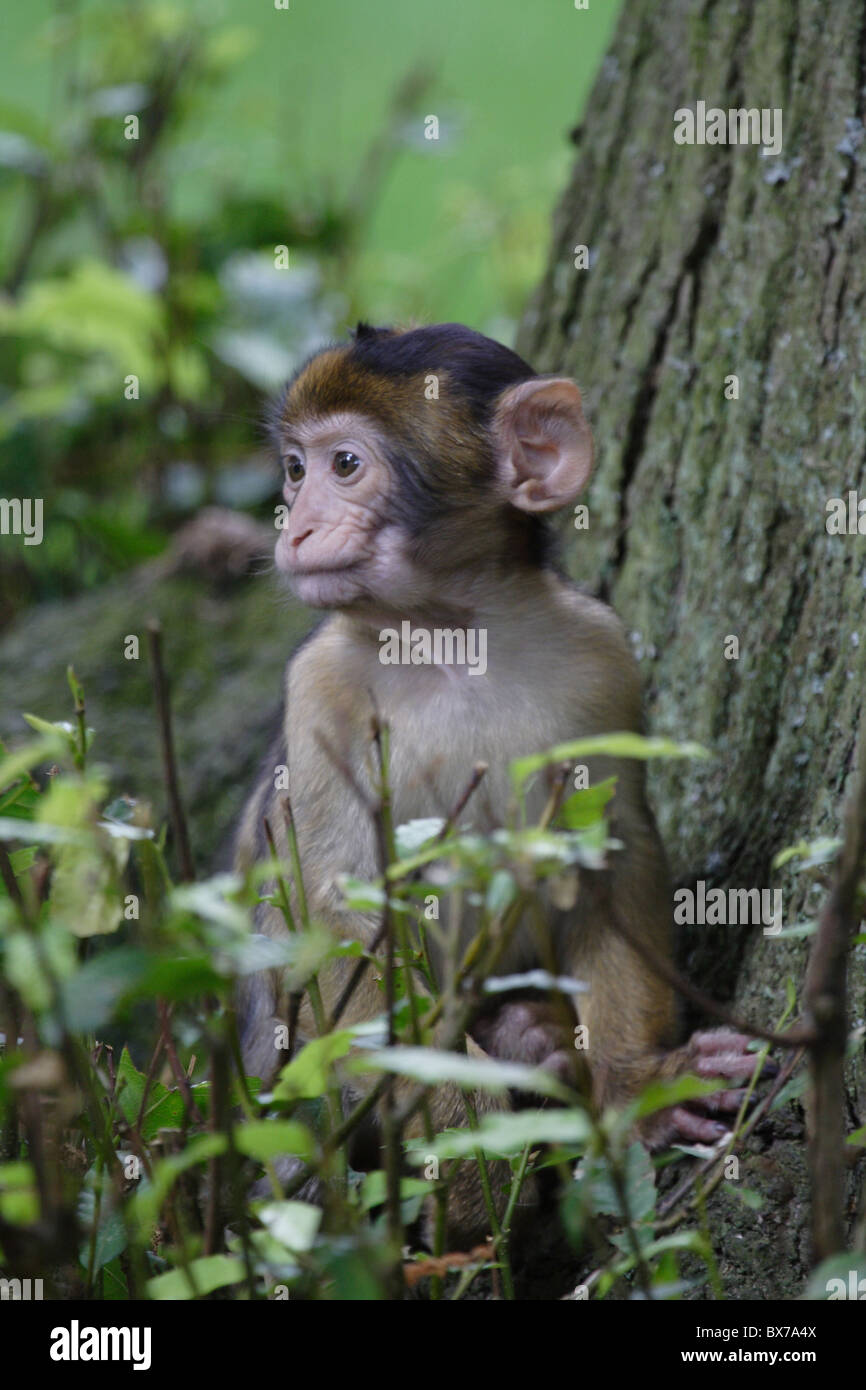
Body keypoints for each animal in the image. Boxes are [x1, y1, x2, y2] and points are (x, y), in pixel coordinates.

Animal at [233, 321, 762, 1243]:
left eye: (344, 465)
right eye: (295, 469)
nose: (295, 528)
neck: (450, 633)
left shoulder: (601, 656)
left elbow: (608, 855)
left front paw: (636, 1088)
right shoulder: (319, 692)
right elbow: (334, 910)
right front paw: (474, 1169)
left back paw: (528, 1037)